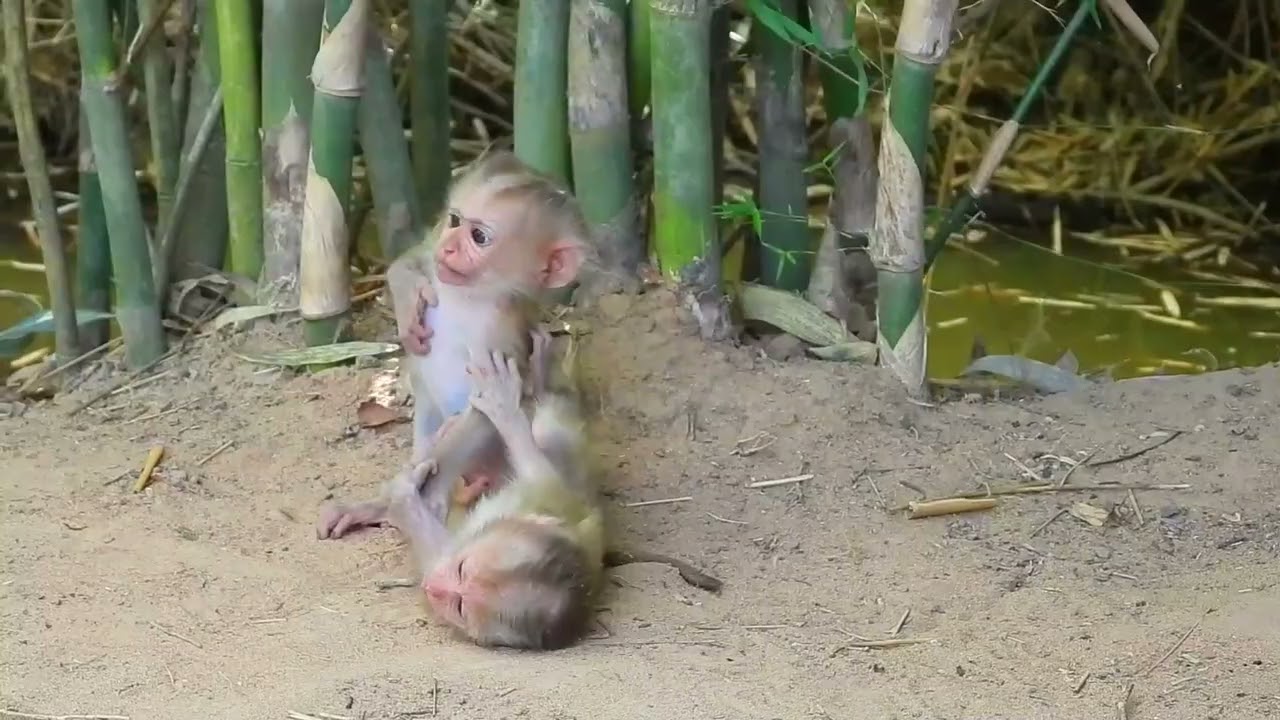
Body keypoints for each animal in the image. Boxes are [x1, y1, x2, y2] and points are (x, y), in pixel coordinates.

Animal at [316, 150, 592, 541]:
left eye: (478, 236)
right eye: (454, 220)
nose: (448, 247)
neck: (469, 297)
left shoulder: (501, 336)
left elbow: (485, 406)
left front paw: (419, 500)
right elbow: (412, 259)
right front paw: (408, 298)